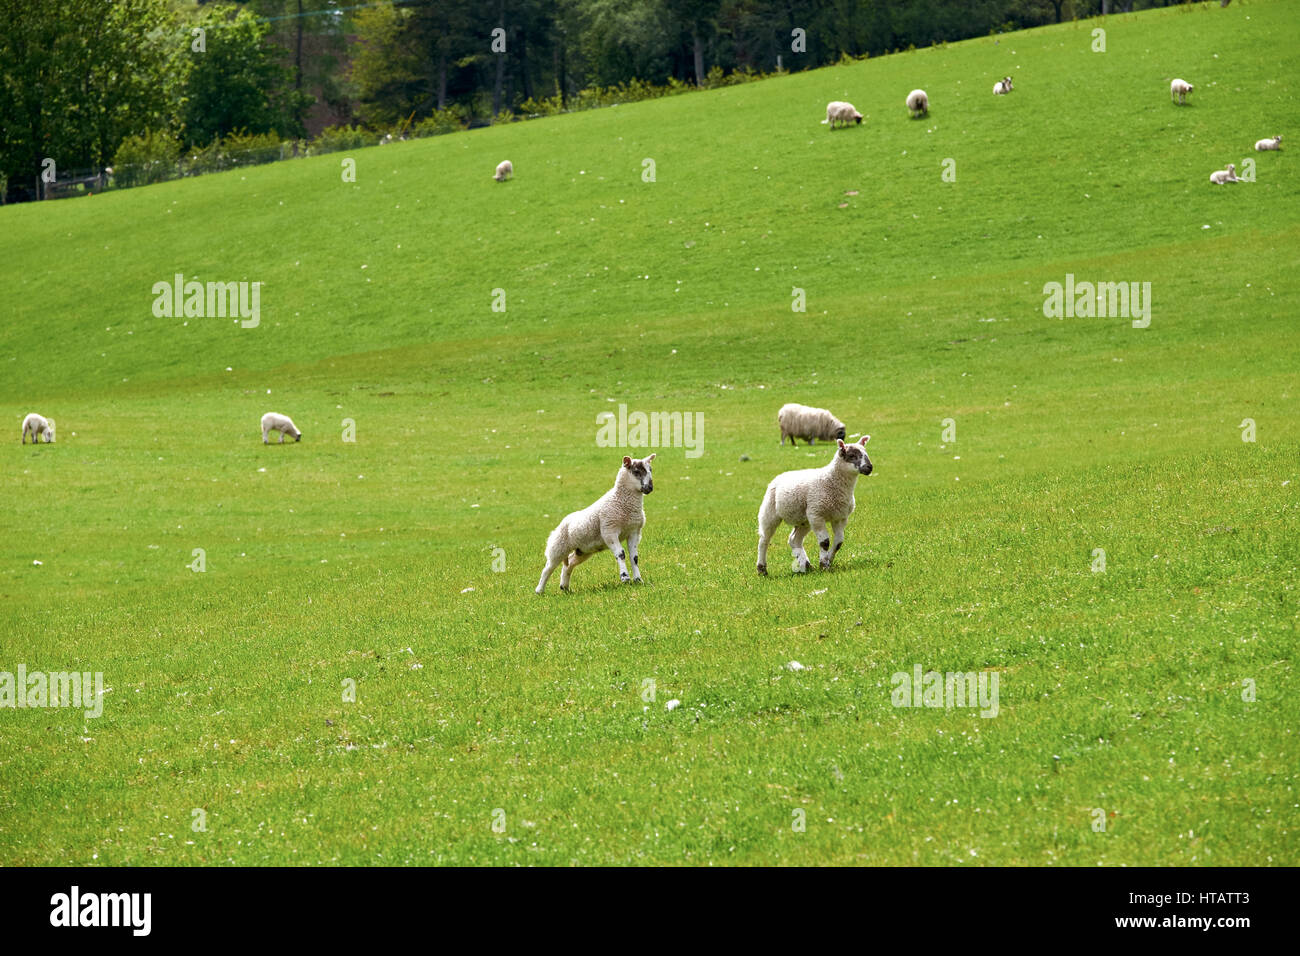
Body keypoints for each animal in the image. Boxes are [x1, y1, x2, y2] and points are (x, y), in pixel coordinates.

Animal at [535, 454, 656, 593]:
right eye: (636, 472)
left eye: (650, 470)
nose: (650, 488)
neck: (623, 503)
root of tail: (563, 521)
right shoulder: (609, 531)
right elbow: (621, 554)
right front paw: (625, 578)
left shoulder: (634, 531)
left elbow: (634, 557)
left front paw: (638, 580)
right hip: (558, 546)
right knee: (548, 567)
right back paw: (539, 590)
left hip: (583, 550)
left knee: (569, 563)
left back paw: (564, 587)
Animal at [757, 436, 872, 575]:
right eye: (852, 455)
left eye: (866, 453)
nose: (869, 467)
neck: (832, 481)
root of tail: (779, 476)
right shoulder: (817, 514)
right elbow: (825, 542)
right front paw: (824, 565)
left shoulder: (840, 517)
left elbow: (839, 542)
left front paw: (829, 560)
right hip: (770, 512)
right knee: (764, 540)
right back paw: (762, 569)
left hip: (804, 520)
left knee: (794, 540)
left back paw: (806, 565)